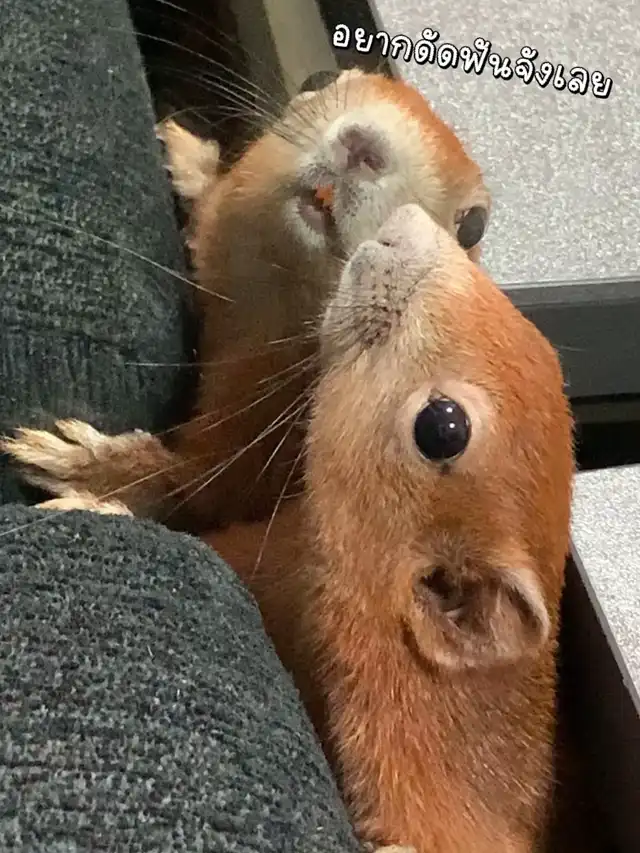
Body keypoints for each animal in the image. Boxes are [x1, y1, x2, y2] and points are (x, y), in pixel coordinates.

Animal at [1, 68, 491, 532]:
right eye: (318, 80)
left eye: (475, 226)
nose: (364, 148)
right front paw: (182, 151)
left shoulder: (252, 465)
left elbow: (191, 491)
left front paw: (83, 464)